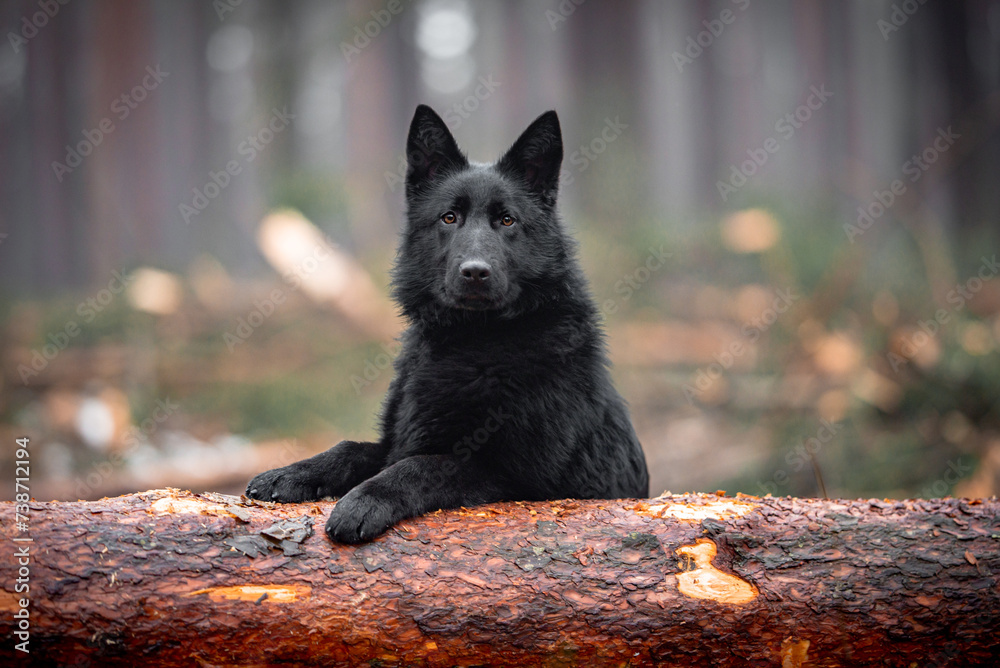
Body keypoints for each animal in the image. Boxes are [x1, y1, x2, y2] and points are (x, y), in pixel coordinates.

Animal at [246, 105, 649, 543]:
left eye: (507, 220)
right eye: (449, 217)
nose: (475, 272)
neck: (473, 342)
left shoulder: (515, 476)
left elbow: (422, 465)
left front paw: (363, 502)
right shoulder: (395, 441)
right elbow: (350, 447)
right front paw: (292, 473)